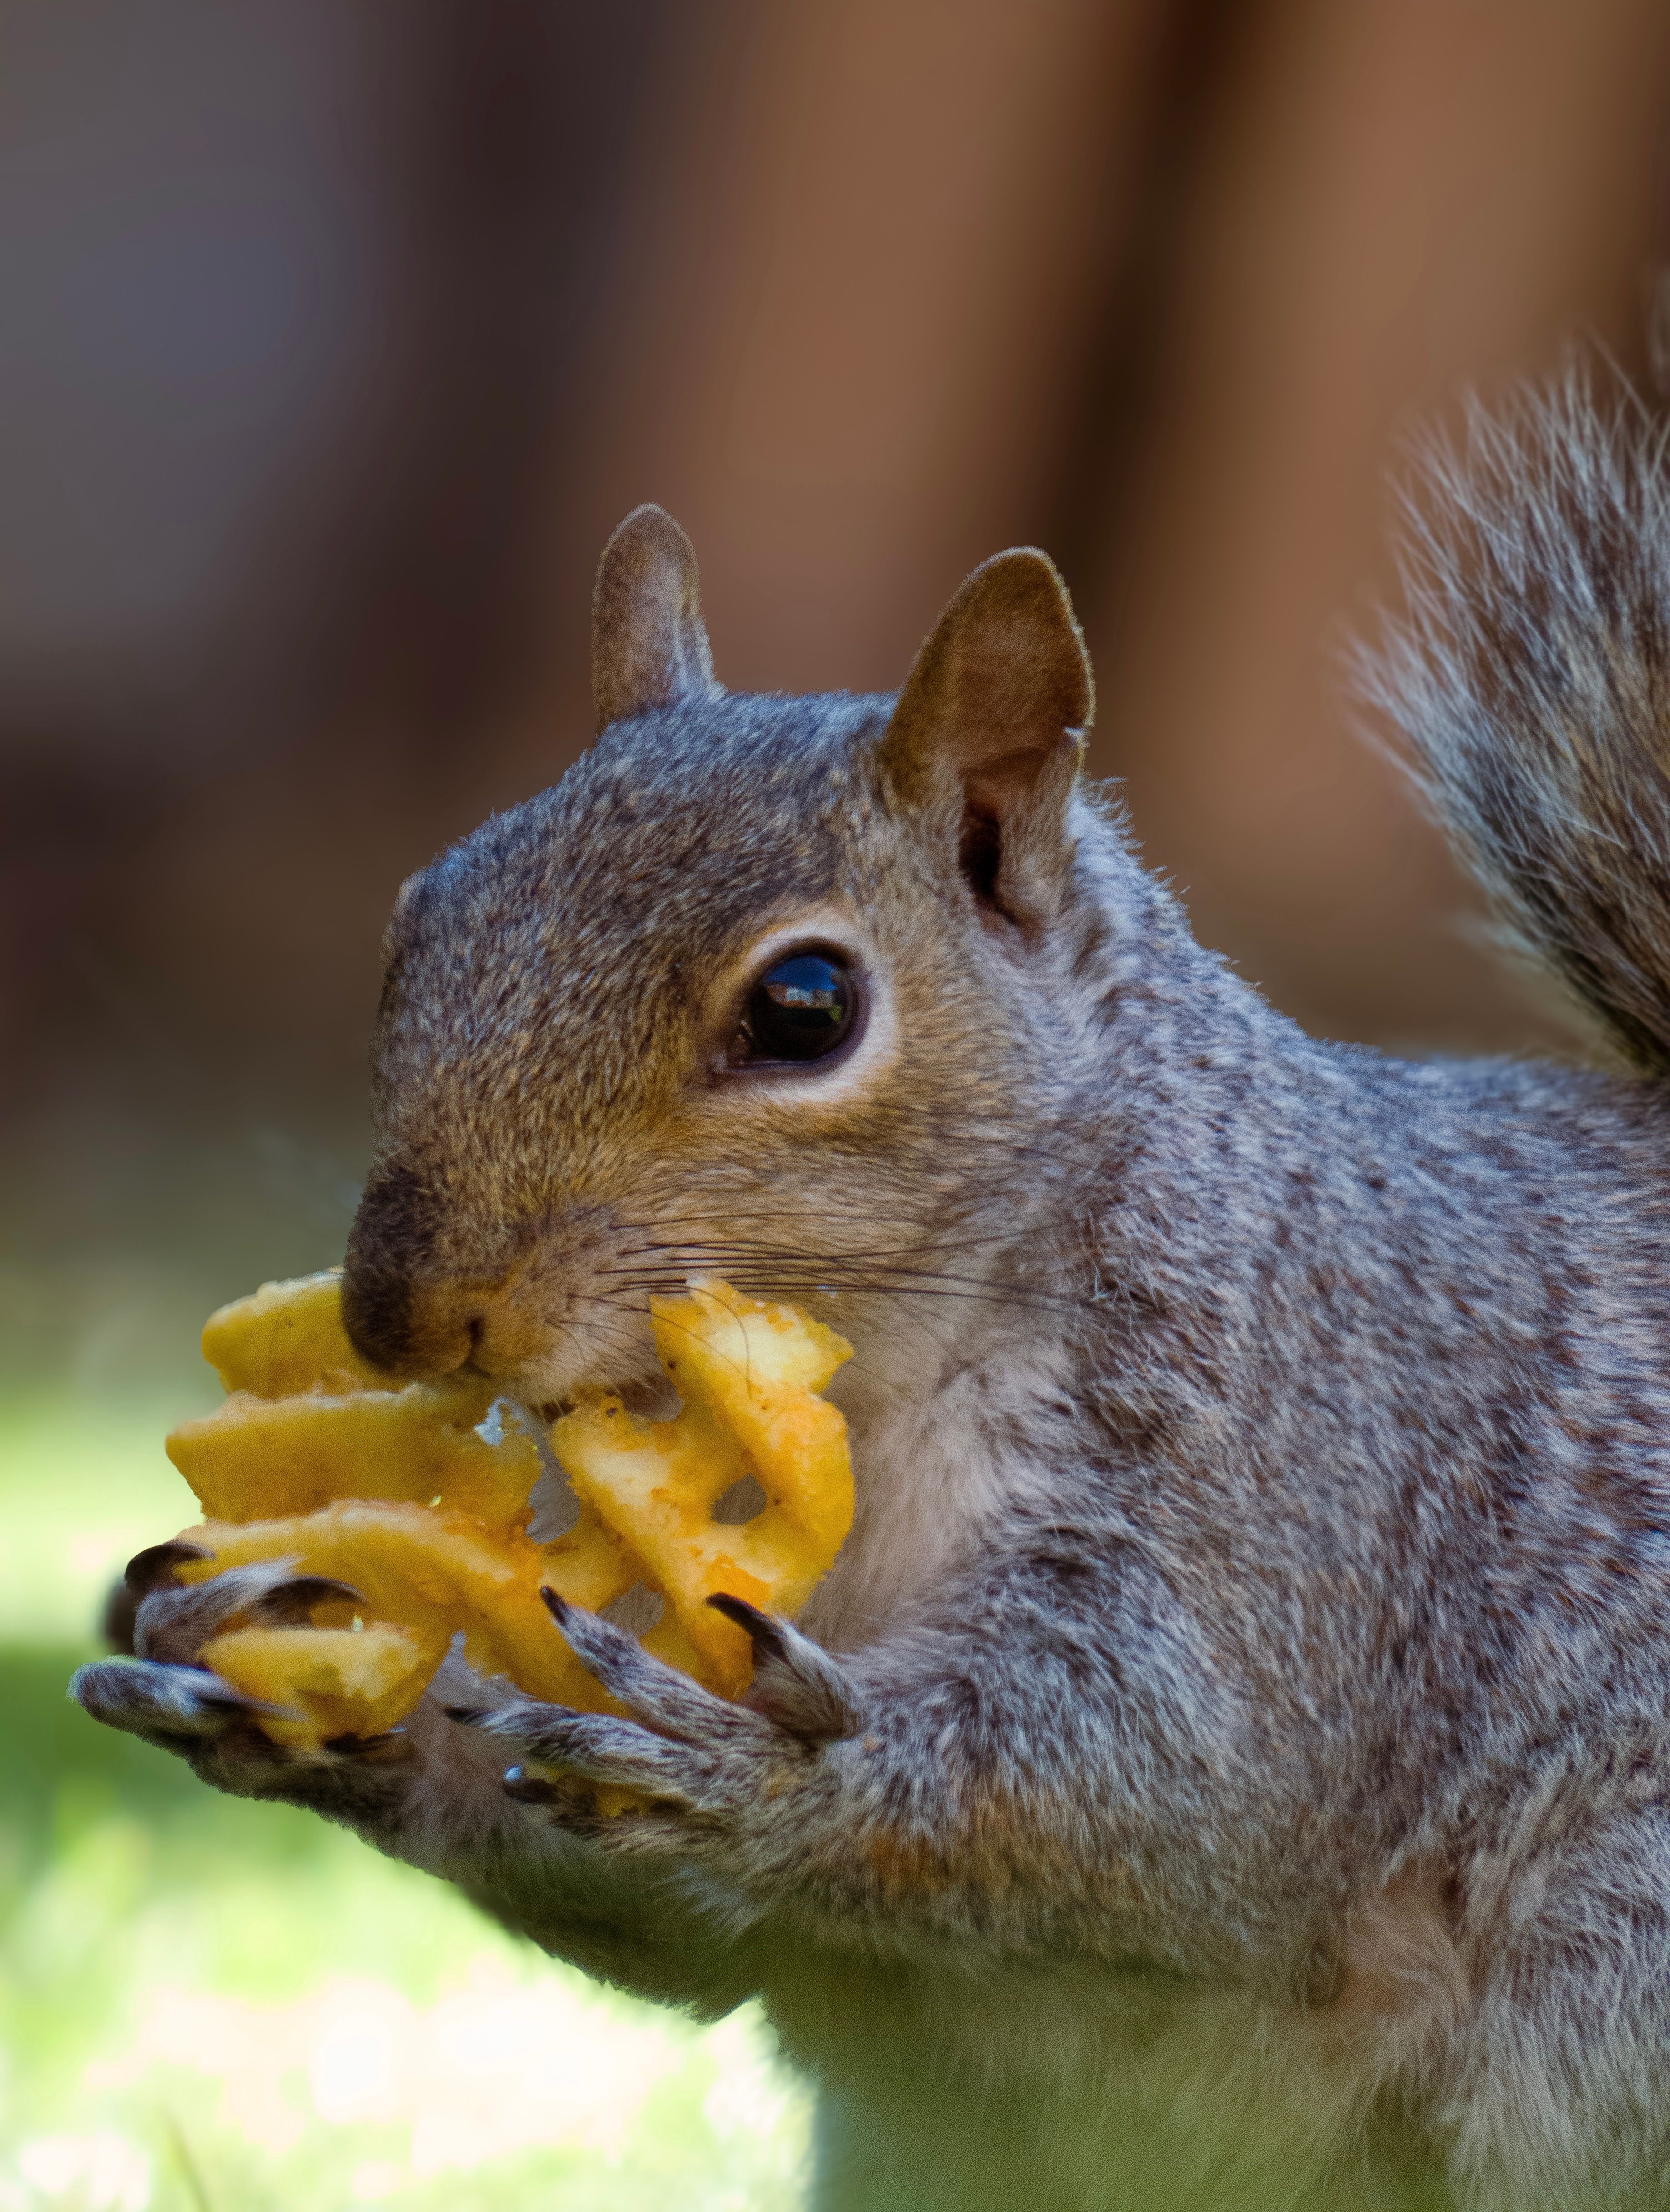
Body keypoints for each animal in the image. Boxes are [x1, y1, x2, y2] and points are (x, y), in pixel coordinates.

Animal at [71, 361, 1670, 2212]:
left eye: (805, 1007)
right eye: (420, 918)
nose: (405, 1312)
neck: (884, 1382)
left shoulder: (1309, 1482)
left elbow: (1160, 1794)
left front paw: (768, 1778)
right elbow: (673, 1923)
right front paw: (297, 1678)